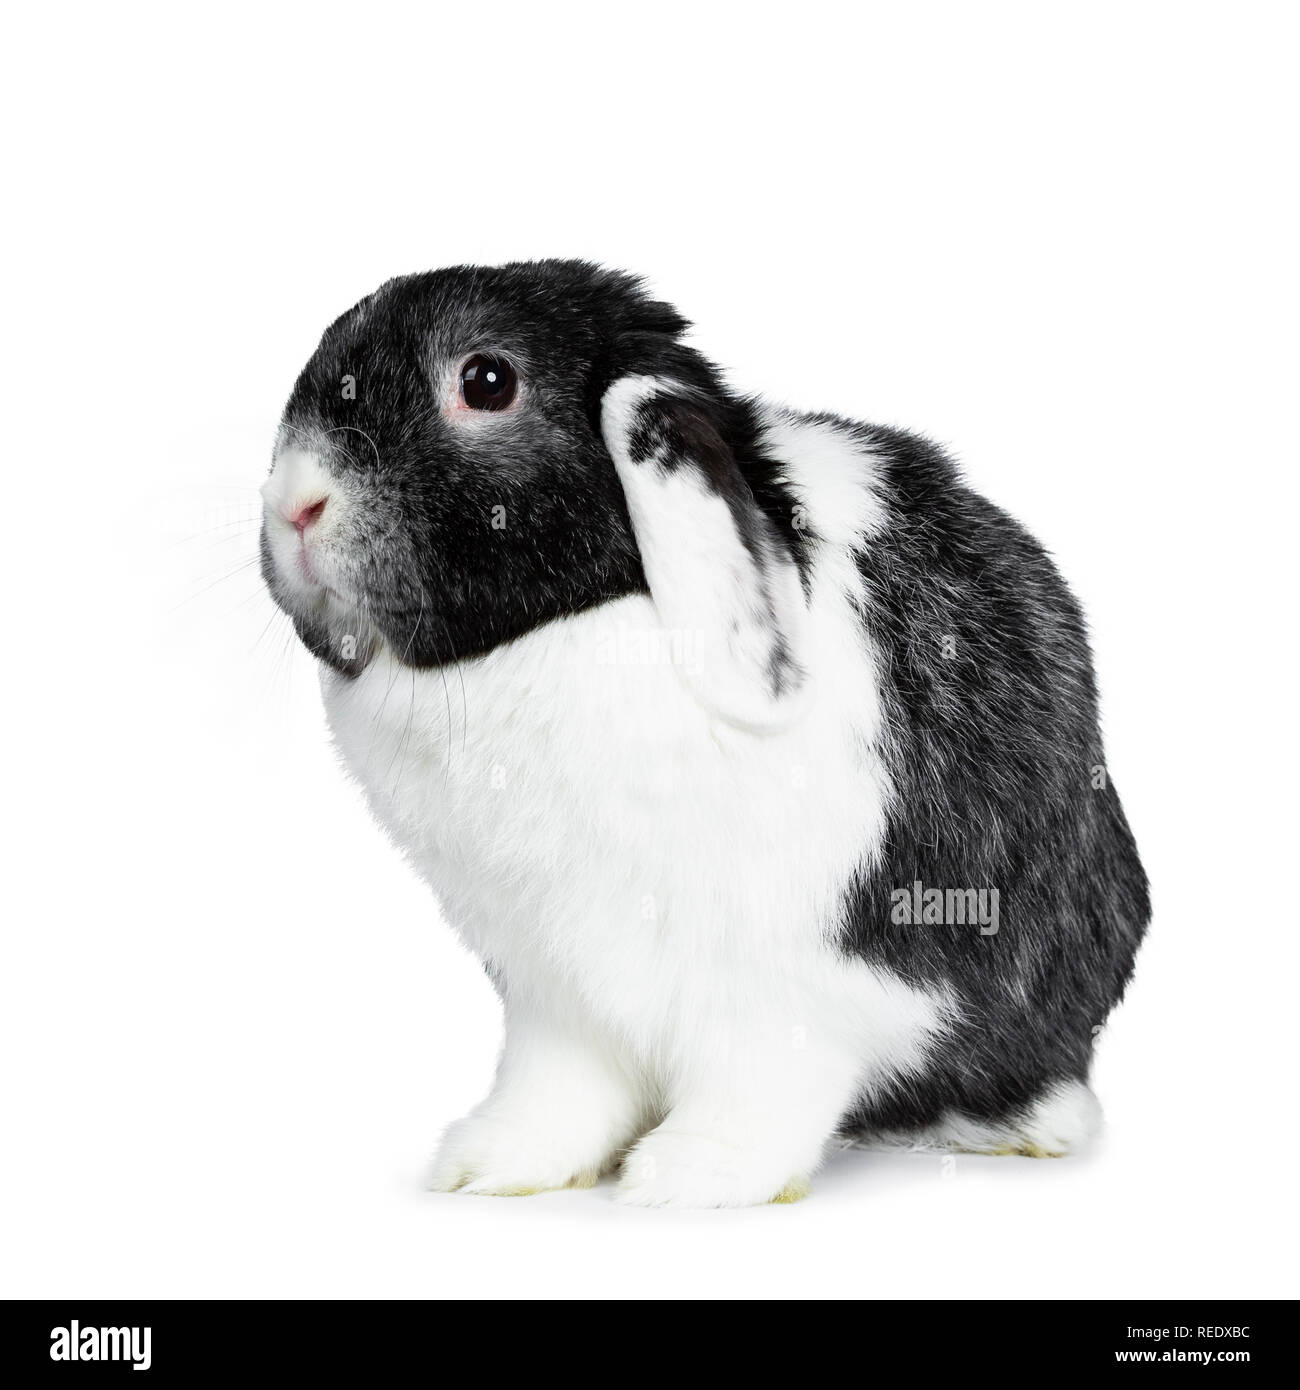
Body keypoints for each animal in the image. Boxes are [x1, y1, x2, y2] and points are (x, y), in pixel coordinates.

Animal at [260, 259, 1149, 1207]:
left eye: (487, 380)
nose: (296, 503)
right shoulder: (552, 993)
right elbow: (559, 1086)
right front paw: (494, 1166)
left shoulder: (792, 988)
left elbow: (761, 1079)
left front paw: (690, 1175)